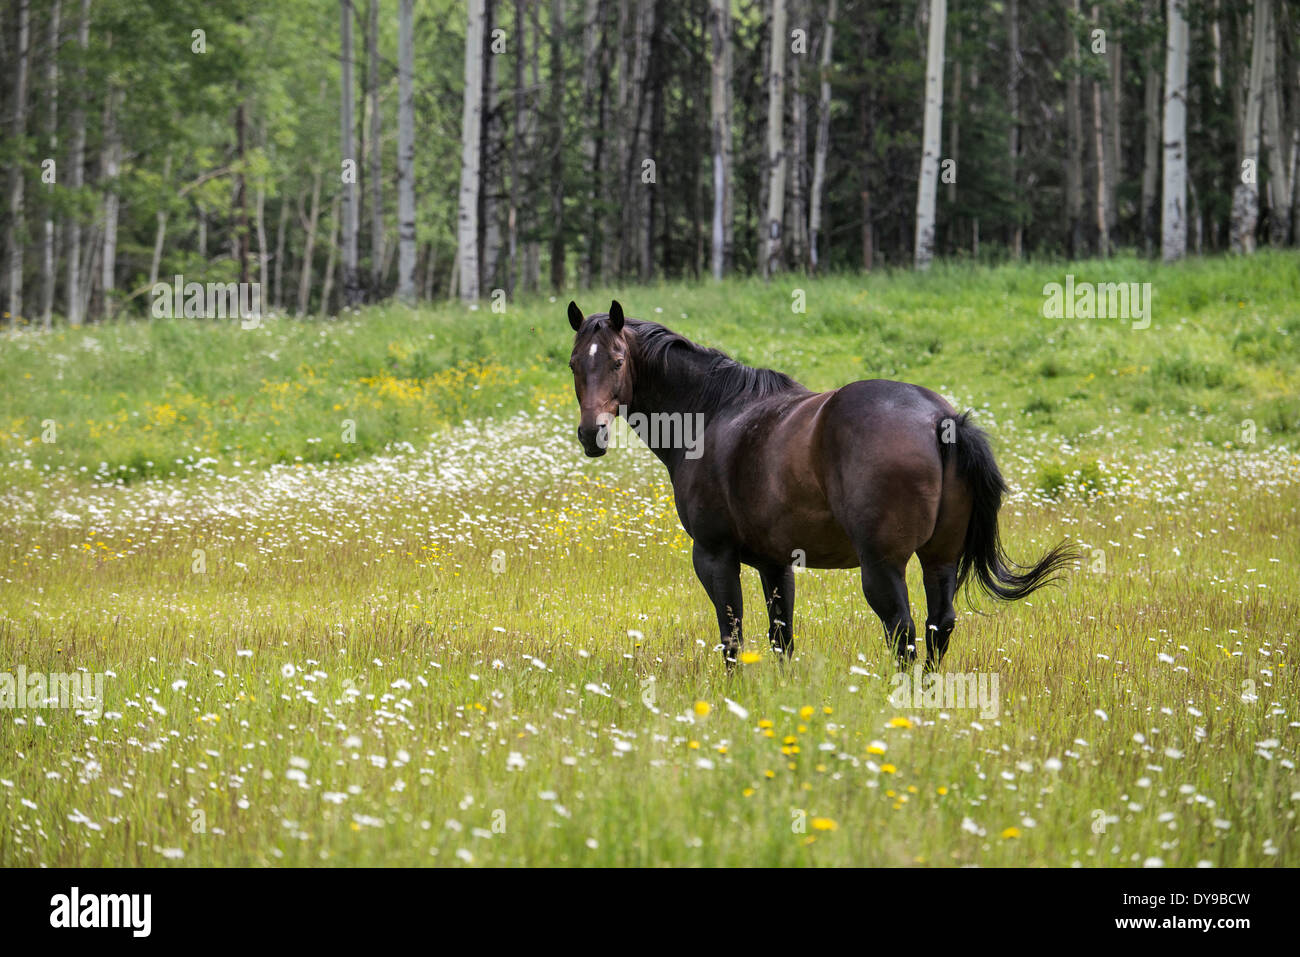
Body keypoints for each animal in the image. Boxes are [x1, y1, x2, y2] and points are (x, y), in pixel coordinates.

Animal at [566, 299, 1077, 670]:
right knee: (938, 626)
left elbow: (732, 636)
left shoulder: (714, 556)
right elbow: (781, 637)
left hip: (882, 567)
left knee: (903, 631)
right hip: (940, 559)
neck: (713, 413)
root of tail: (940, 418)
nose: (592, 434)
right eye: (574, 364)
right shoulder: (775, 564)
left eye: (616, 361)